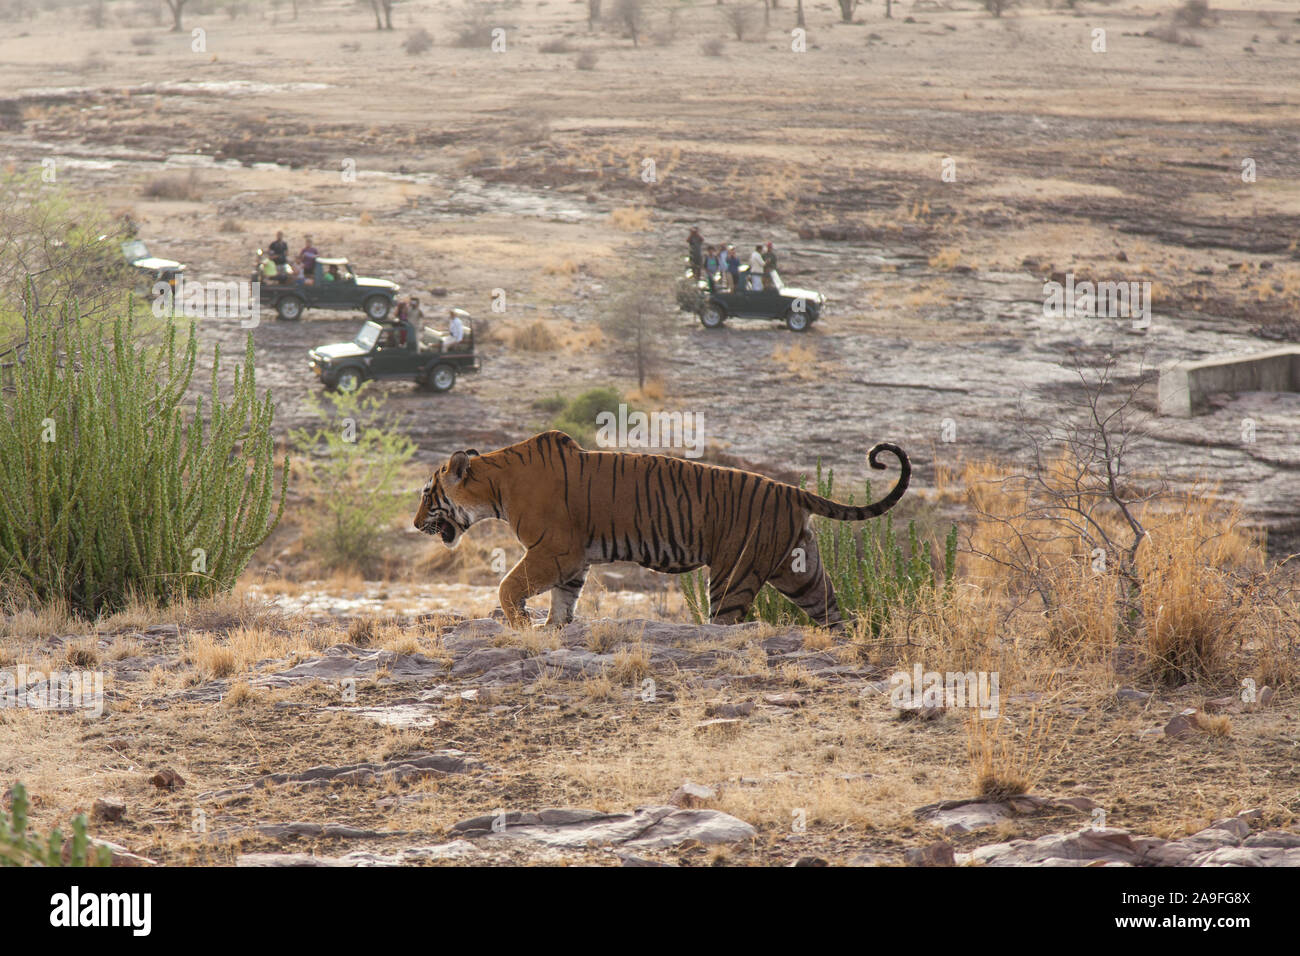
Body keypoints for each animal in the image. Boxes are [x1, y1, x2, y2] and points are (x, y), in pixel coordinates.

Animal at [413, 430, 910, 630]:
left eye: (426, 493)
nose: (416, 524)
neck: (495, 485)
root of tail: (790, 490)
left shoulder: (553, 551)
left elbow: (507, 585)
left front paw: (521, 624)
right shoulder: (572, 561)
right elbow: (563, 600)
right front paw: (553, 627)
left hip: (734, 574)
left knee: (724, 621)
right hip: (800, 570)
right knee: (833, 613)